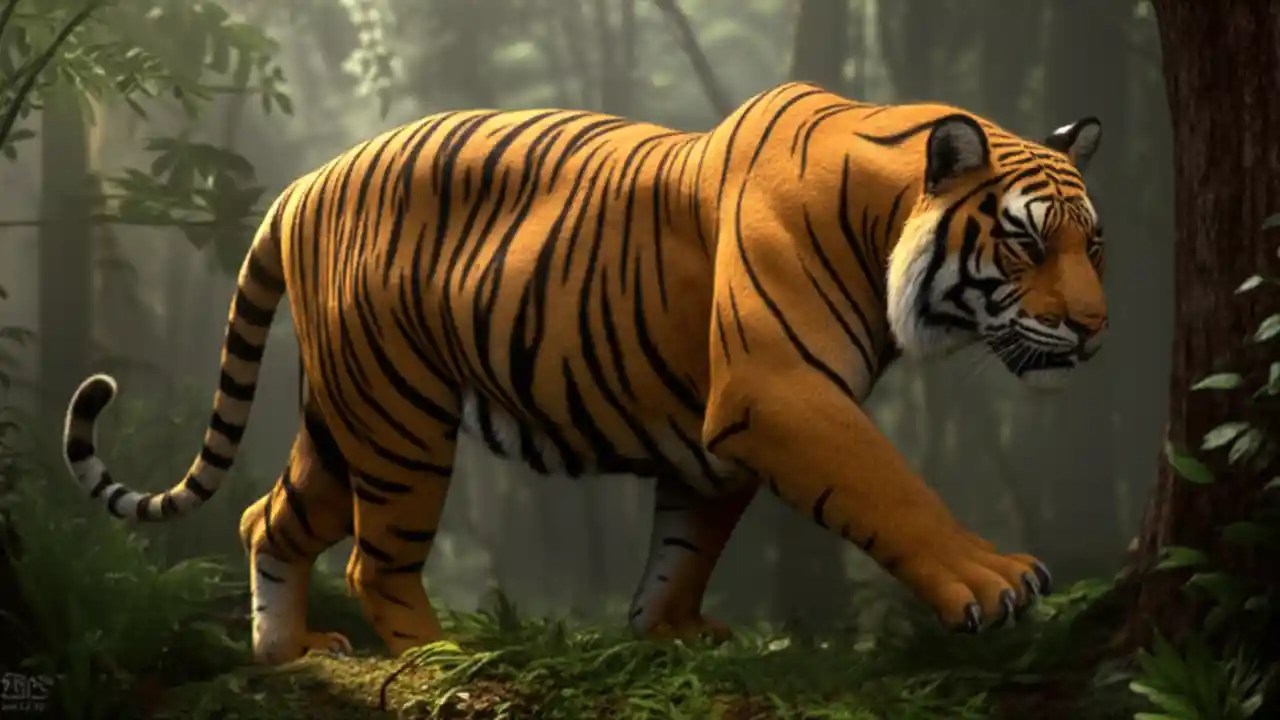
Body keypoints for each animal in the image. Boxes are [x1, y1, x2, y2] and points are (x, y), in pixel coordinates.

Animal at [61, 81, 1107, 664]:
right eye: (1024, 243)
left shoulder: (719, 432)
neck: (879, 217)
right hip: (403, 420)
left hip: (348, 410)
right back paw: (442, 655)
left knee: (268, 517)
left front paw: (669, 631)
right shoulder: (778, 390)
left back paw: (284, 654)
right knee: (372, 556)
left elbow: (688, 544)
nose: (1097, 332)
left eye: (1094, 243)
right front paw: (989, 581)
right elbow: (892, 488)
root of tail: (299, 187)